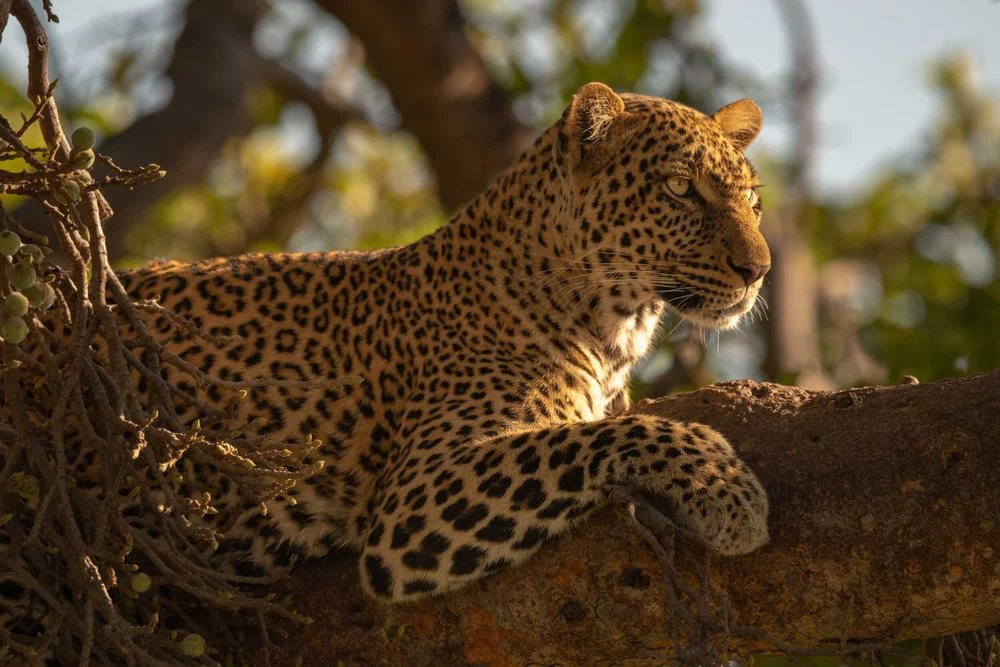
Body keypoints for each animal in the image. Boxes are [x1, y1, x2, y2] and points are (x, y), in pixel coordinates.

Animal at [2, 82, 771, 630]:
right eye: (680, 189)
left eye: (753, 200)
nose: (758, 269)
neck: (613, 332)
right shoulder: (417, 499)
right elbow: (604, 434)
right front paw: (726, 491)